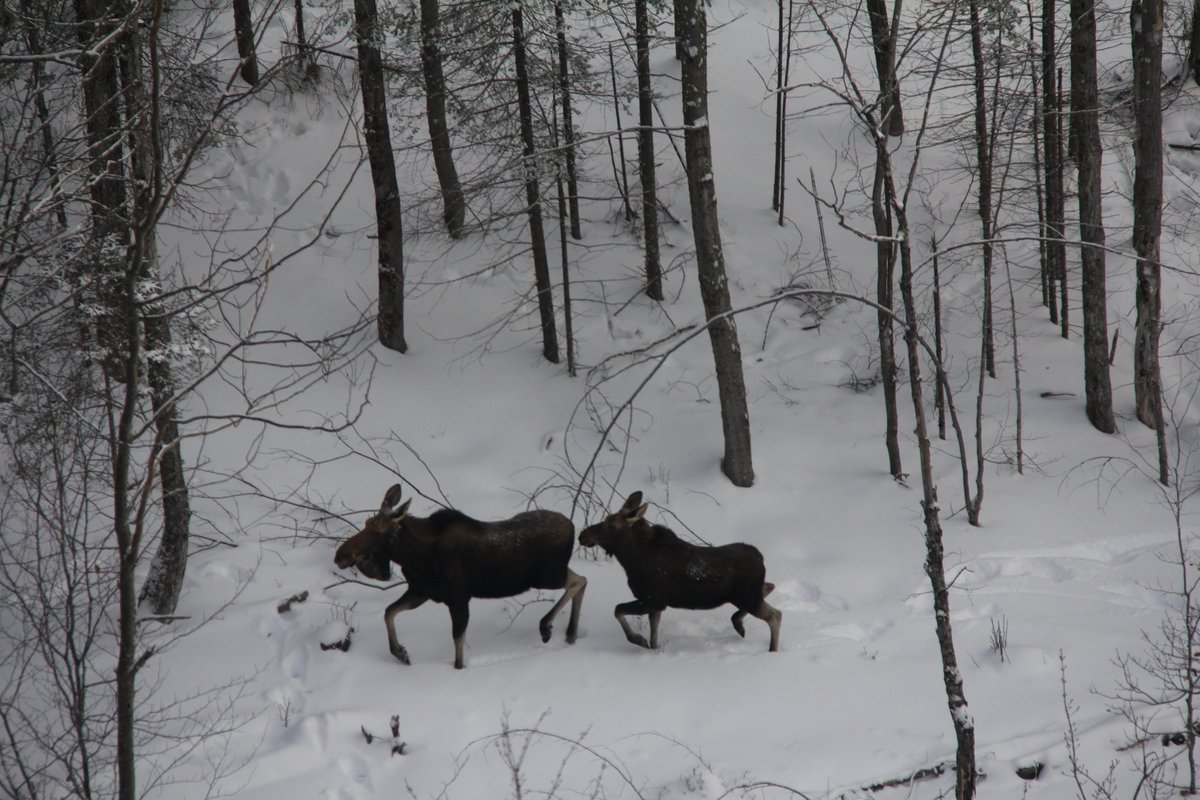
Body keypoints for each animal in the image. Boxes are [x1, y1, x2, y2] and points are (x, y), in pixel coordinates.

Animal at [334, 484, 586, 669]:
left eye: (377, 532)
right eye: (367, 522)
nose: (340, 555)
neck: (415, 557)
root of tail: (573, 526)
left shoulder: (458, 597)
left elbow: (458, 642)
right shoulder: (421, 592)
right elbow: (389, 612)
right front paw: (401, 653)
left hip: (548, 575)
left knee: (579, 580)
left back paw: (547, 627)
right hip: (550, 575)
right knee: (581, 581)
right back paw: (570, 635)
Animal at [578, 491, 781, 652]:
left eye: (612, 526)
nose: (582, 535)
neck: (631, 560)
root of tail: (760, 557)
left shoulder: (653, 600)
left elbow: (618, 609)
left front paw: (638, 639)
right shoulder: (655, 604)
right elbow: (654, 637)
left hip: (747, 597)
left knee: (775, 615)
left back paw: (771, 649)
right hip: (747, 595)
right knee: (770, 586)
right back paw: (739, 623)